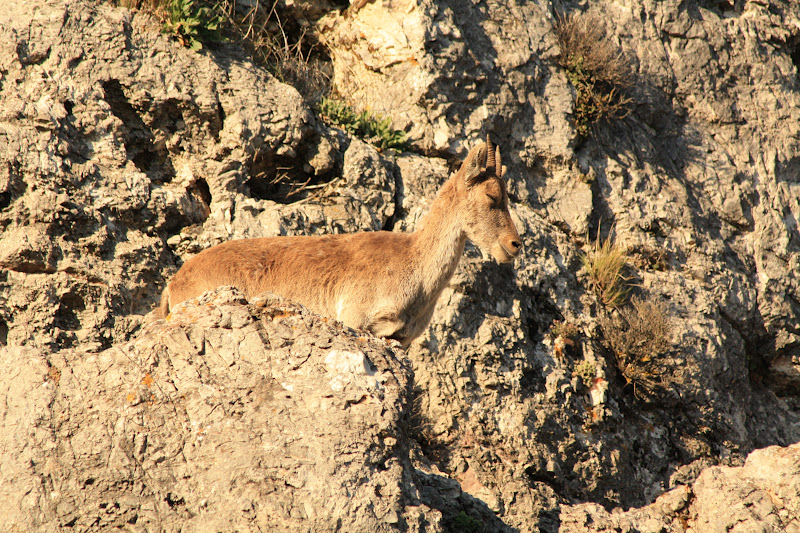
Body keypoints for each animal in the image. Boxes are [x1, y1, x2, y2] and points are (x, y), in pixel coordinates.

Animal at [158, 136, 522, 348]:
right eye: (492, 197)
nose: (514, 244)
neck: (413, 265)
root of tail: (174, 284)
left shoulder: (401, 340)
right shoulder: (355, 319)